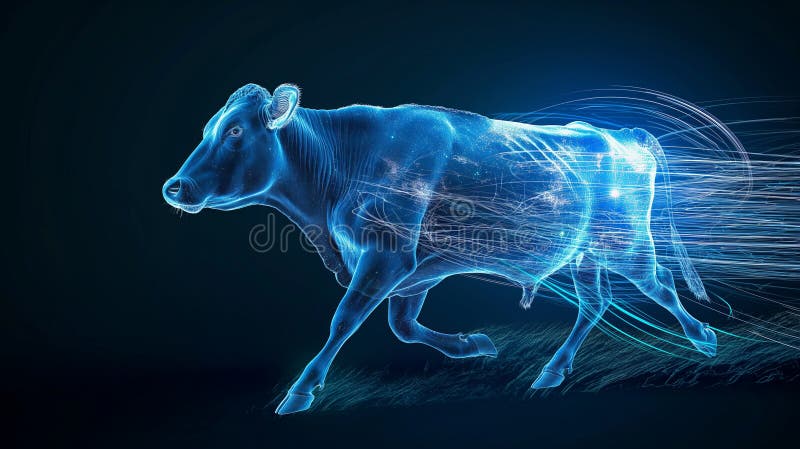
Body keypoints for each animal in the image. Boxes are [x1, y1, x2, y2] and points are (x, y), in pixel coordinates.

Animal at [162, 83, 717, 415]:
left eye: (235, 130)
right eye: (208, 128)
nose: (174, 186)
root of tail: (622, 133)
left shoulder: (388, 253)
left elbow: (344, 319)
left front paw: (301, 391)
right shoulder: (416, 270)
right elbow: (403, 326)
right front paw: (473, 345)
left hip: (625, 241)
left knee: (659, 285)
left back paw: (703, 338)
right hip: (583, 252)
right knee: (595, 301)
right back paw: (553, 370)